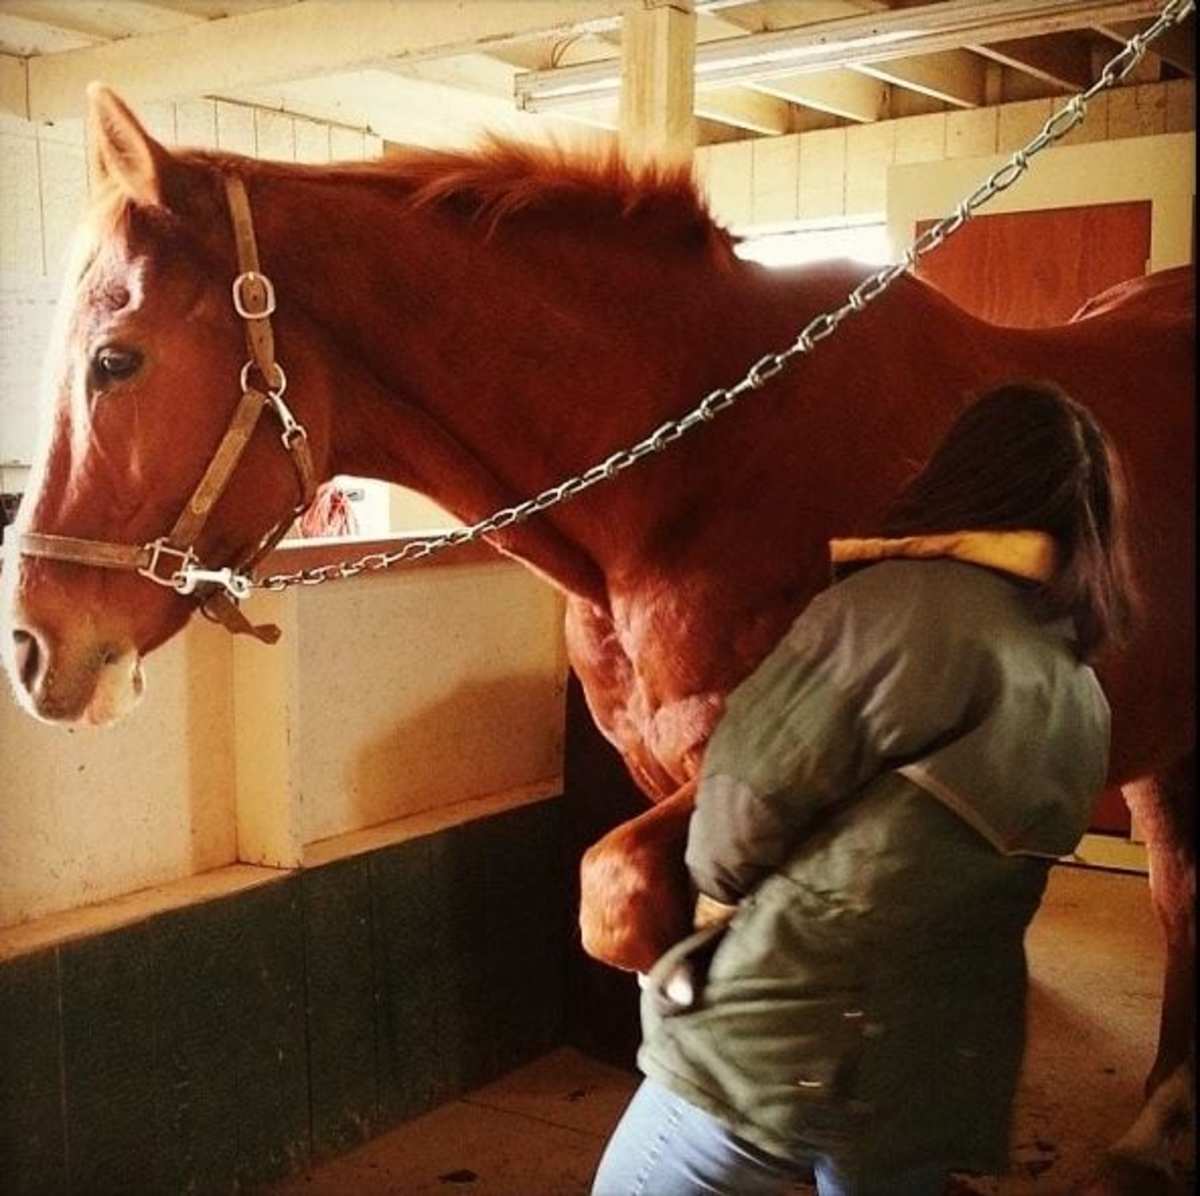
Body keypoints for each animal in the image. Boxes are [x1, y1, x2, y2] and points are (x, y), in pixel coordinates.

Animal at [1, 86, 1193, 1190]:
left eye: (115, 359)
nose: (32, 648)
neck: (704, 464)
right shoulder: (671, 775)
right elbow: (643, 917)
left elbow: (629, 891)